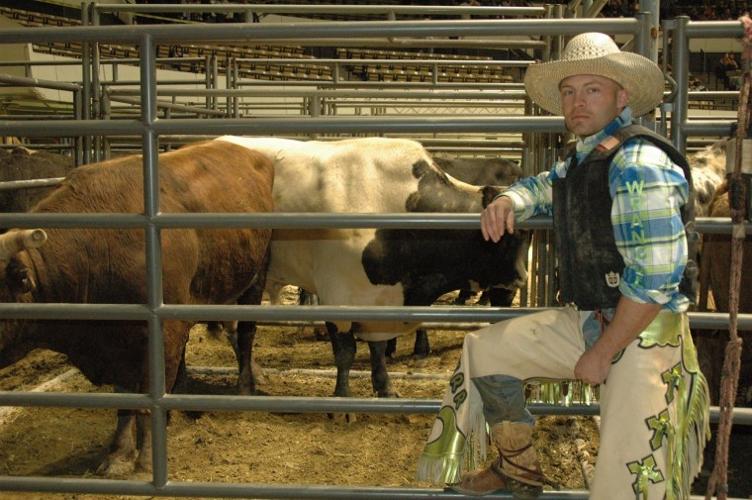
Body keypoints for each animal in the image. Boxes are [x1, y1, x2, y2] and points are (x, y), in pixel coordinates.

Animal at [0, 140, 274, 476]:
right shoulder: (120, 342)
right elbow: (126, 401)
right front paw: (118, 453)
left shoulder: (161, 335)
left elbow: (150, 400)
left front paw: (146, 461)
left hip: (256, 276)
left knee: (246, 334)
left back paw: (245, 387)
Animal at [216, 136, 529, 399]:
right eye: (508, 238)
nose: (522, 278)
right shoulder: (337, 295)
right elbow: (346, 352)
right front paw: (342, 399)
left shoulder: (380, 299)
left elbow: (377, 349)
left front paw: (385, 386)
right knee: (243, 330)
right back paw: (247, 383)